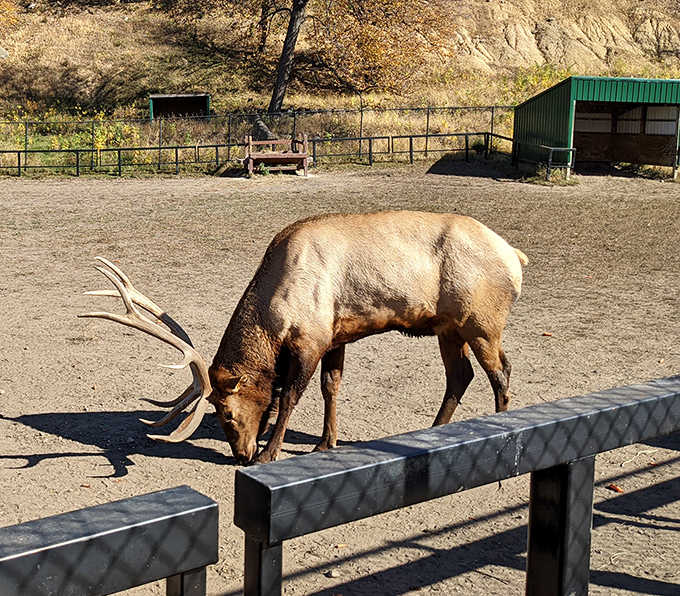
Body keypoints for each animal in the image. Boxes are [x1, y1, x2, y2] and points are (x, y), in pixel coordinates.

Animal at [80, 211, 528, 465]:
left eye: (225, 413)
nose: (240, 456)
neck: (276, 308)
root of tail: (516, 257)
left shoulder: (309, 338)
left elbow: (290, 396)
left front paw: (271, 452)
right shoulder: (337, 334)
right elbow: (331, 387)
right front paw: (325, 444)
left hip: (481, 322)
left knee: (501, 372)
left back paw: (503, 426)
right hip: (448, 328)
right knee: (461, 375)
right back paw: (430, 432)